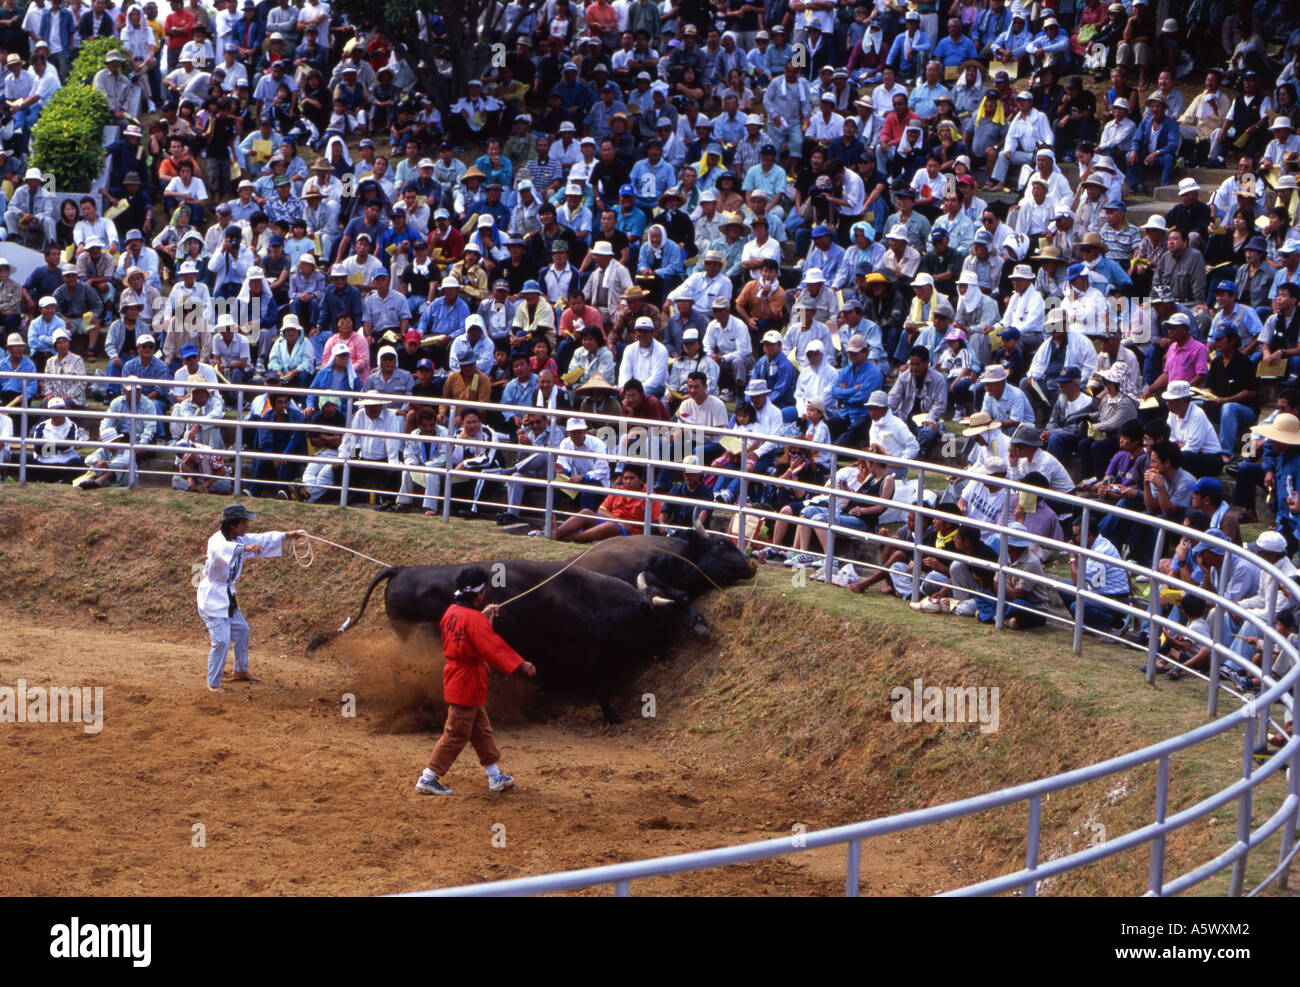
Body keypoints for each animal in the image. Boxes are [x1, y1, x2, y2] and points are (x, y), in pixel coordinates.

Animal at [311, 560, 677, 722]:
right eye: (660, 618)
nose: (671, 645)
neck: (592, 600)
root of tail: (402, 569)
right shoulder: (585, 656)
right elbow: (599, 687)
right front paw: (612, 716)